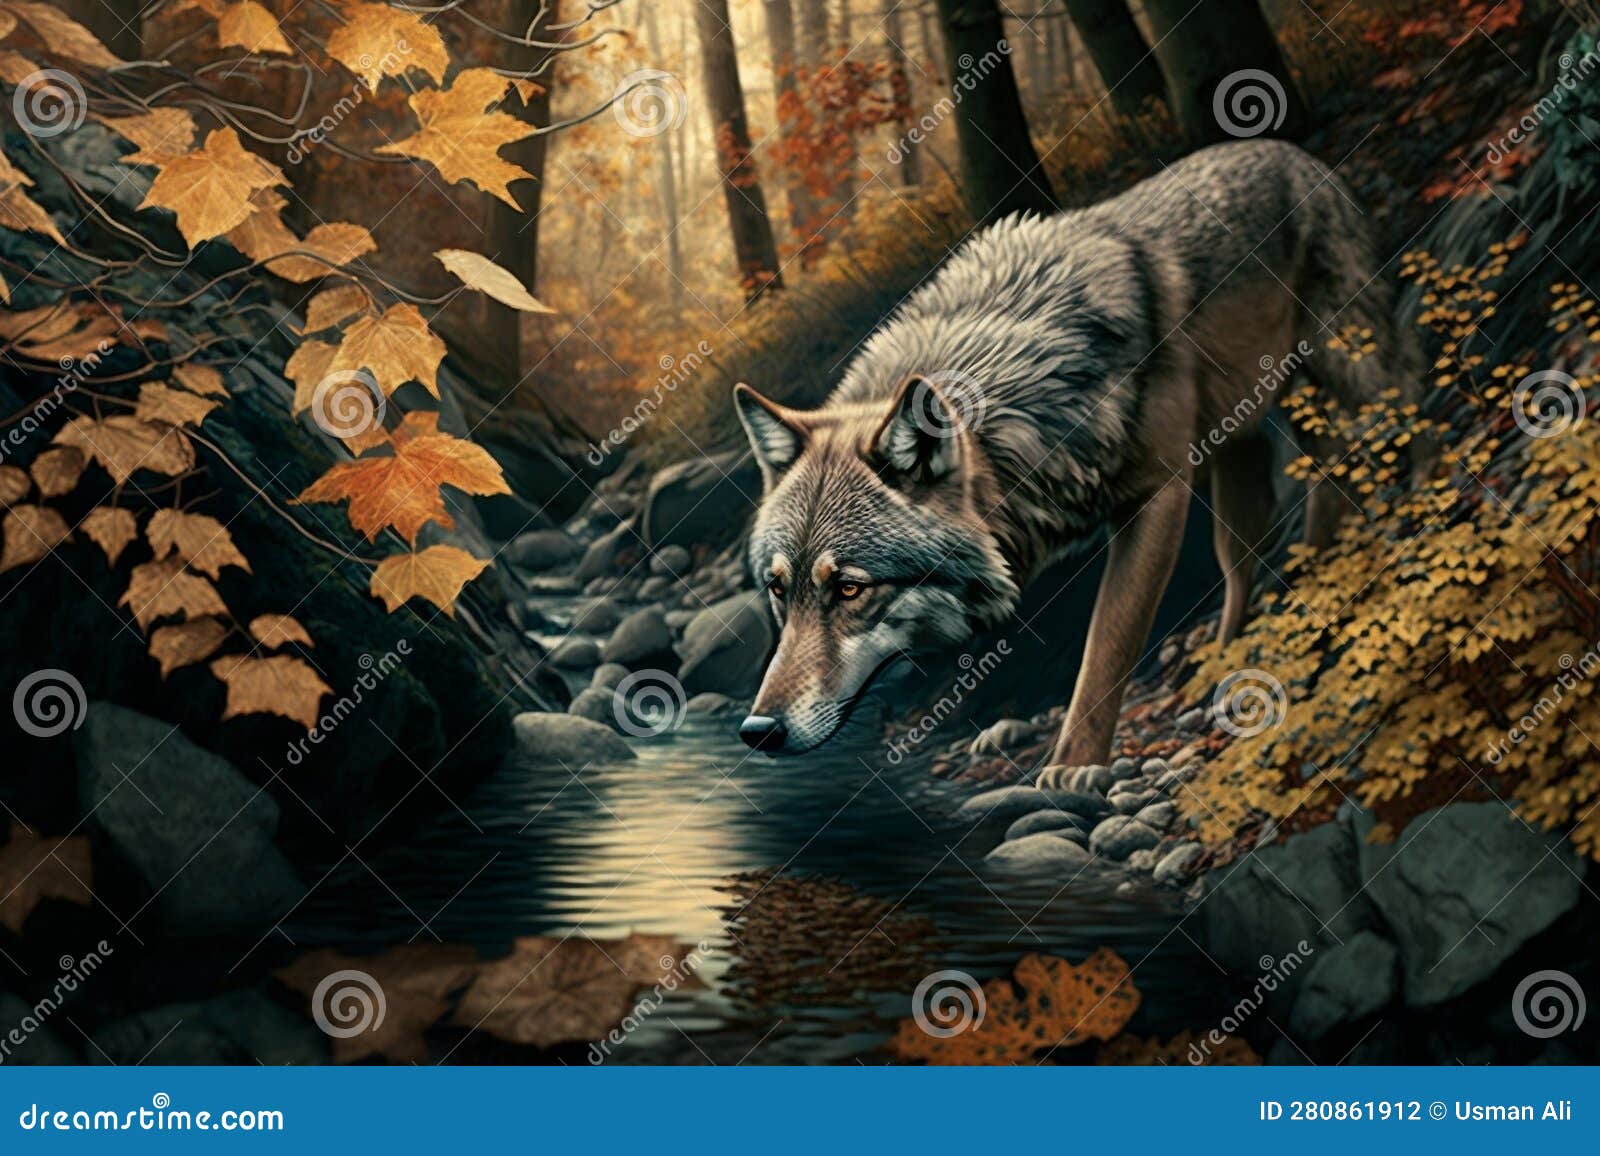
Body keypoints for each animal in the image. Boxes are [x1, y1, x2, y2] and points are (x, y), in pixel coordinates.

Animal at [733, 140, 1425, 778]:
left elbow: (1107, 643)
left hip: (1353, 371)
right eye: (778, 589)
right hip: (1244, 436)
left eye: (850, 588)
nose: (758, 731)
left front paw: (1073, 765)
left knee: (1407, 409)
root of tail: (1297, 152)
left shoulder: (1157, 497)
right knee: (1258, 535)